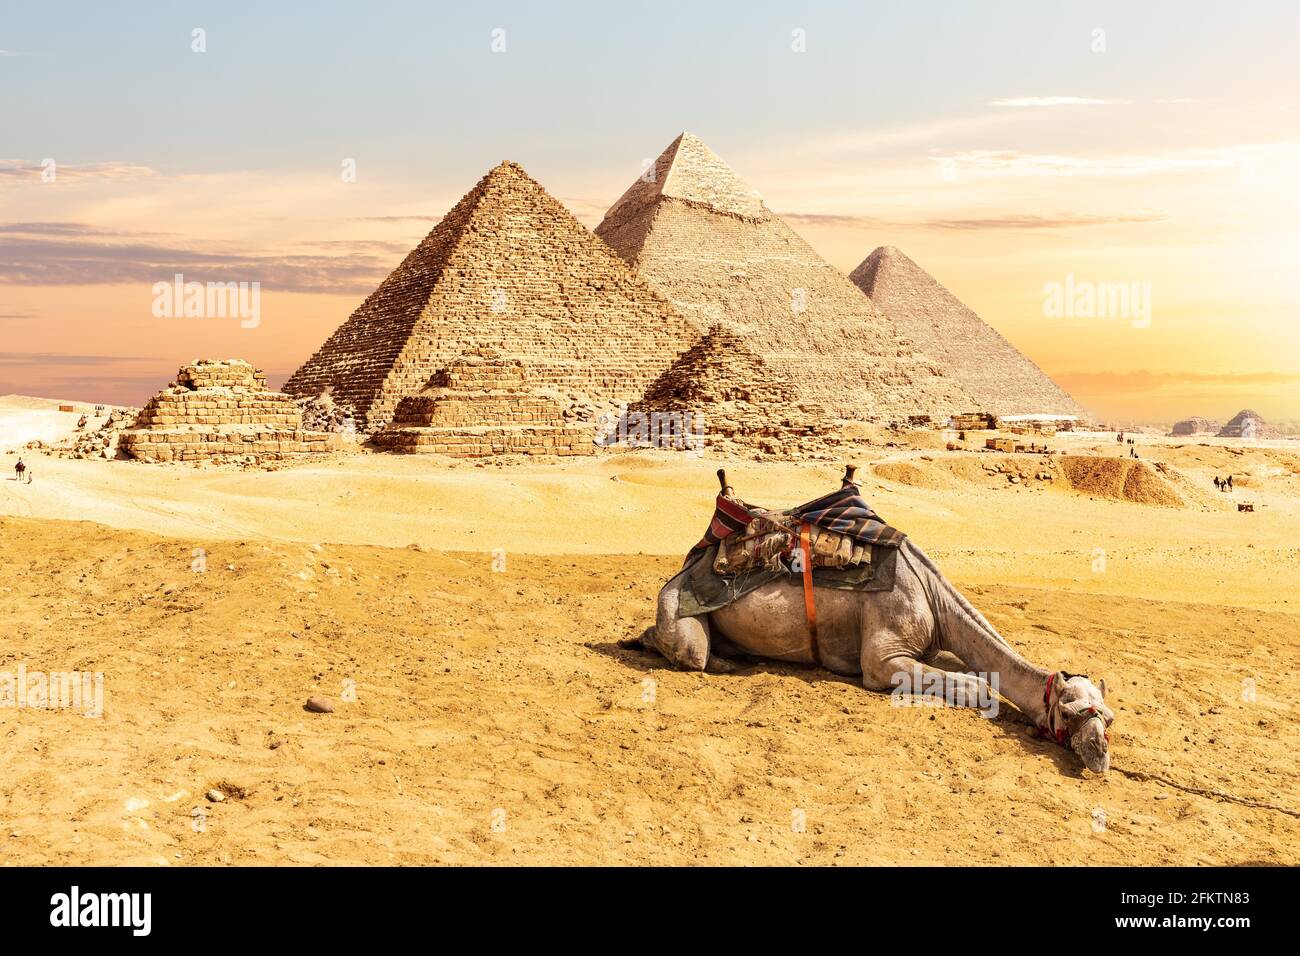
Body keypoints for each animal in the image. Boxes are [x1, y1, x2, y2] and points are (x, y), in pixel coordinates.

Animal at [639, 468, 1115, 773]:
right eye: (1069, 712)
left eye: (1109, 717)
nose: (1100, 754)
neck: (934, 598)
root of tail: (685, 567)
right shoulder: (883, 657)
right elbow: (979, 688)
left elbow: (972, 673)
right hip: (677, 608)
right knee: (692, 652)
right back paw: (720, 661)